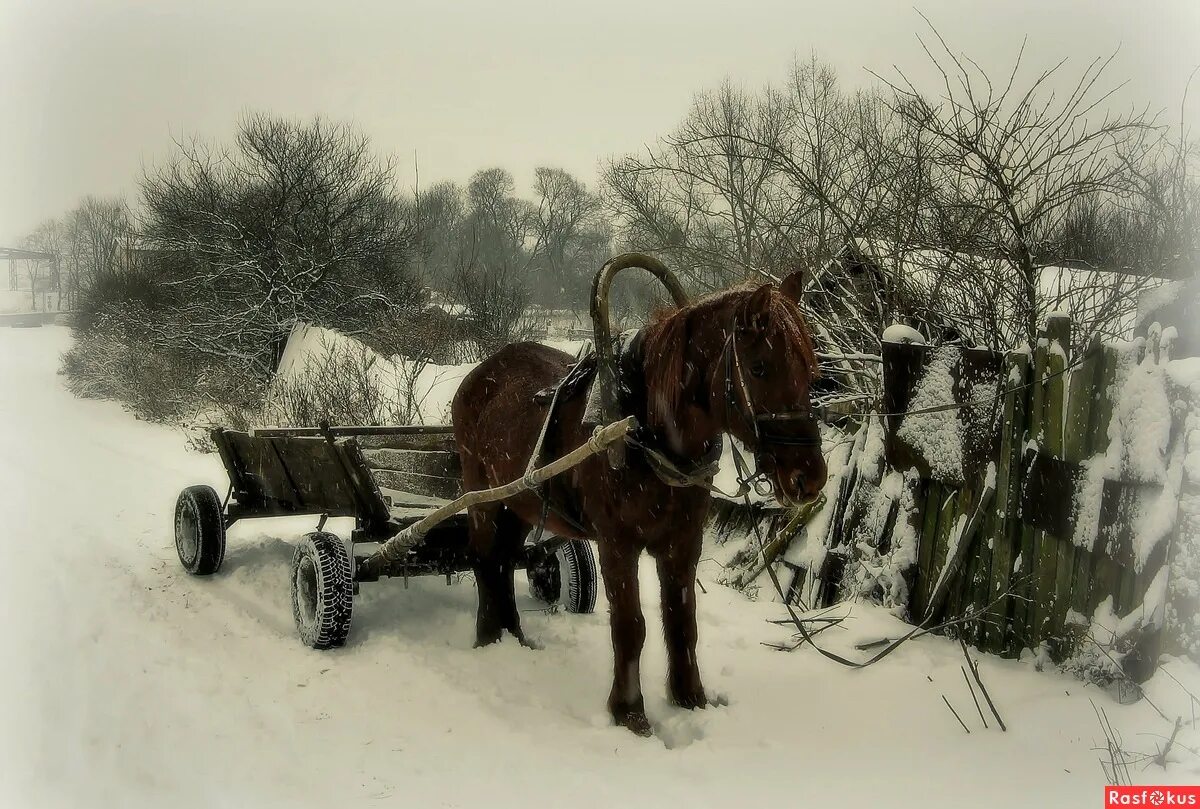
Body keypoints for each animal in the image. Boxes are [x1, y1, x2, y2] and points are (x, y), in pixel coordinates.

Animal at [451, 256, 825, 729]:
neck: (645, 433)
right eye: (759, 367)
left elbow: (681, 620)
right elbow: (631, 626)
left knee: (503, 561)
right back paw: (487, 639)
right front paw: (629, 711)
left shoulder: (683, 543)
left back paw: (514, 637)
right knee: (485, 558)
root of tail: (481, 373)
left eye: (810, 369)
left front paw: (690, 698)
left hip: (521, 503)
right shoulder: (617, 543)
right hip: (482, 493)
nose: (809, 478)